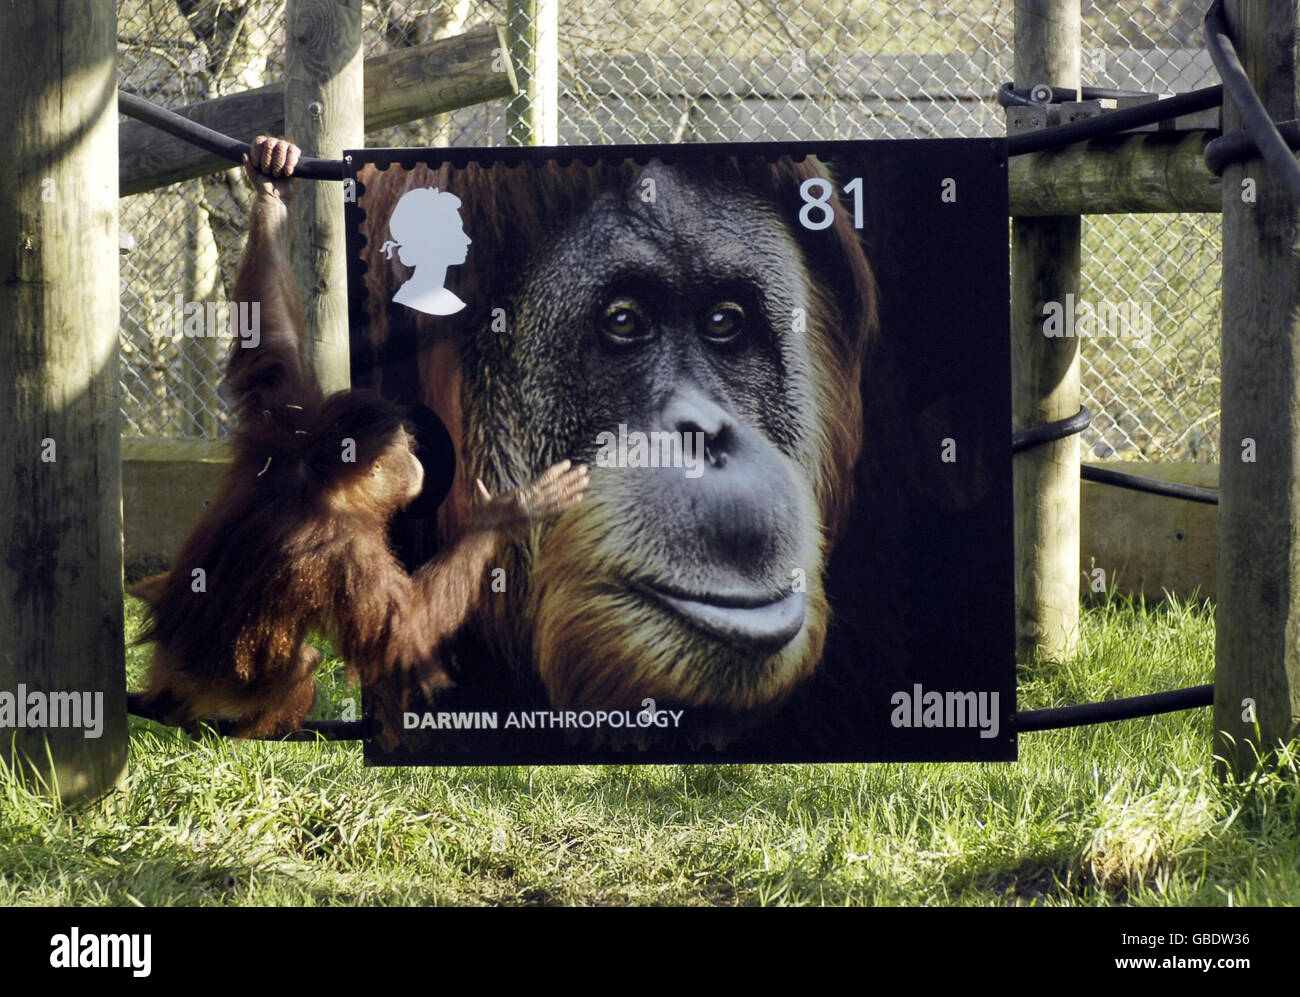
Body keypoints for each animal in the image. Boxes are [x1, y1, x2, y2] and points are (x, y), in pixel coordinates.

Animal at [131, 136, 589, 738]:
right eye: (401, 451)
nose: (418, 459)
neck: (318, 476)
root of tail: (169, 685)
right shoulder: (347, 553)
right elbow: (402, 634)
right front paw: (509, 513)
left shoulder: (286, 421)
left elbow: (269, 340)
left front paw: (271, 177)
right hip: (218, 694)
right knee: (303, 663)